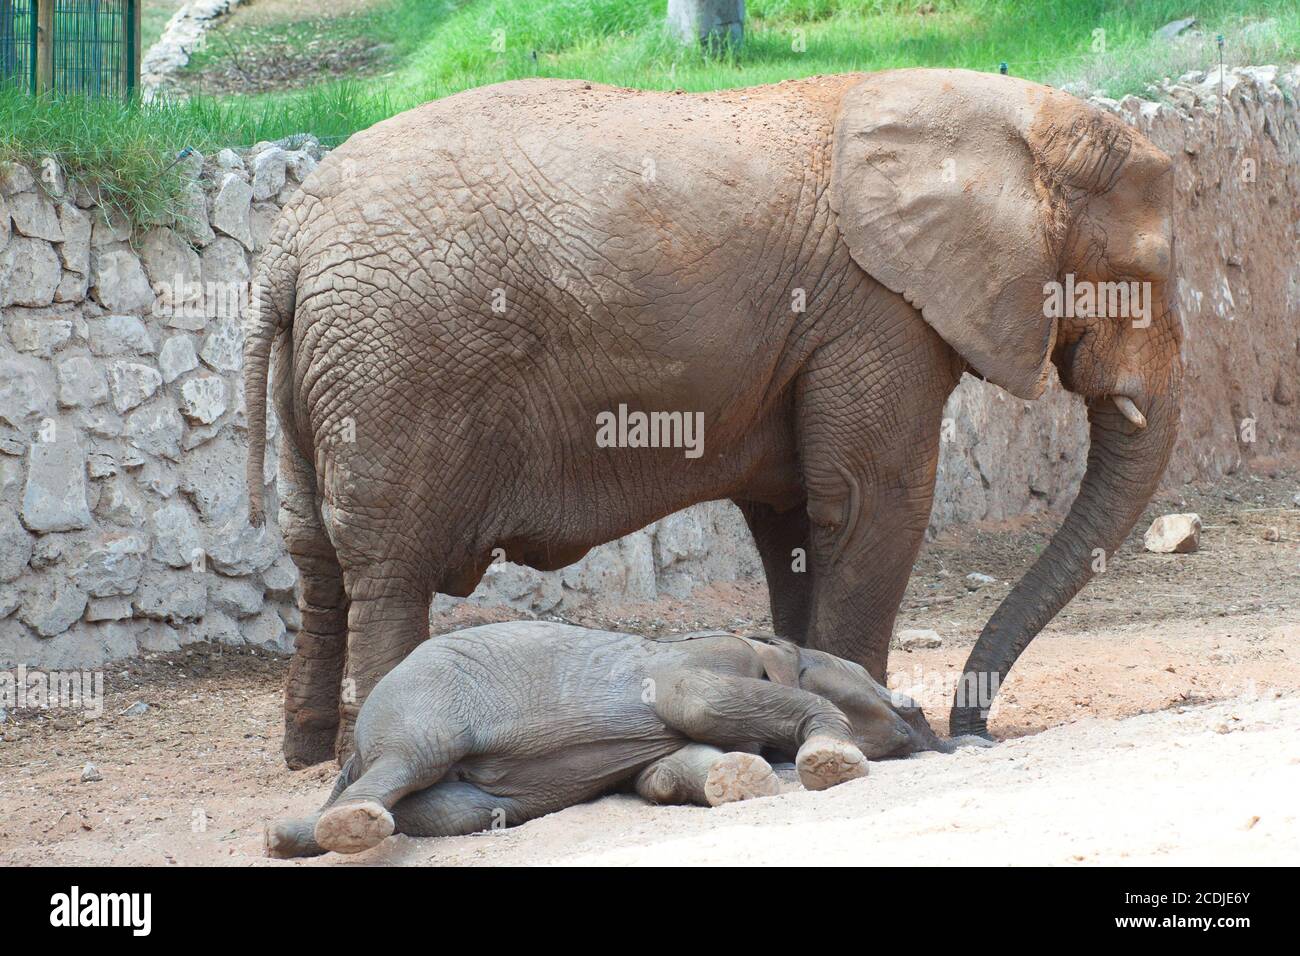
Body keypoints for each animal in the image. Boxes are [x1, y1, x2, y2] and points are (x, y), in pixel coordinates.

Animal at [244, 67, 1181, 767]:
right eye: (1141, 273)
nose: (970, 729)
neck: (1009, 115)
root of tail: (285, 251)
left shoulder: (827, 326)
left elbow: (796, 516)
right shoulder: (876, 308)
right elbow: (873, 502)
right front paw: (880, 731)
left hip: (330, 368)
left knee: (315, 556)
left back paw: (307, 756)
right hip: (395, 365)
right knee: (389, 568)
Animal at [264, 621, 966, 858]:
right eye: (873, 684)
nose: (925, 728)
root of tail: (358, 747)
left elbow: (665, 770)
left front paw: (742, 776)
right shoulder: (695, 666)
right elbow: (700, 704)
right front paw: (829, 762)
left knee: (455, 808)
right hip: (423, 702)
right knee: (411, 759)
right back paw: (342, 826)